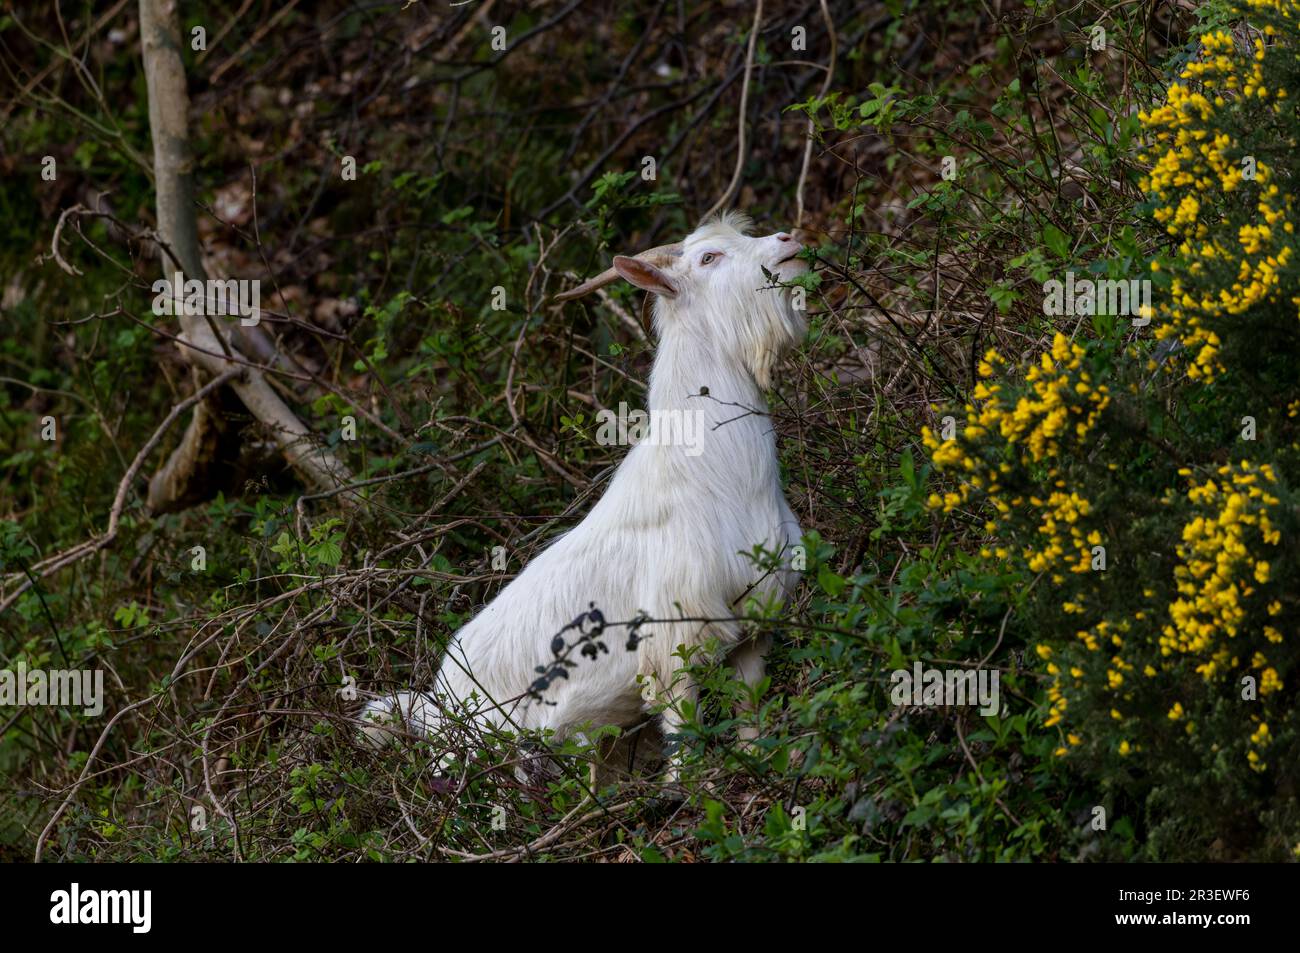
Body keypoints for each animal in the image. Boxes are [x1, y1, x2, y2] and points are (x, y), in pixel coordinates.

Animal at [360, 212, 807, 779]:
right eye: (709, 257)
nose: (789, 240)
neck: (720, 477)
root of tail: (433, 707)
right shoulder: (671, 648)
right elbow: (685, 737)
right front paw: (692, 790)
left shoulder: (754, 625)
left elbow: (750, 708)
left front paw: (760, 764)